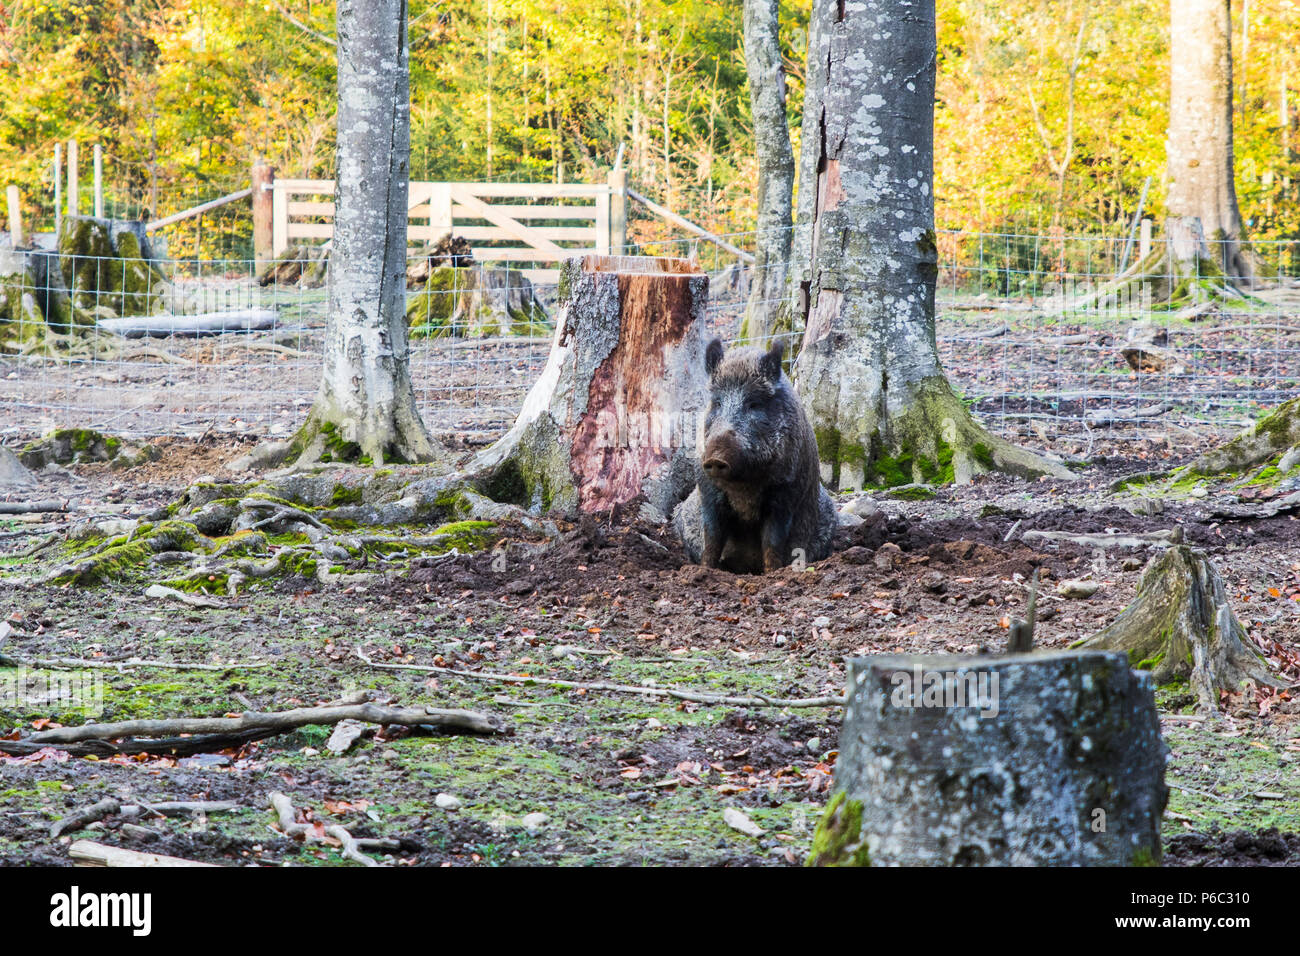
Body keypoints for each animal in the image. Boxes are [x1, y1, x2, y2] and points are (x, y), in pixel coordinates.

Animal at [672, 337, 837, 573]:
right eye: (717, 402)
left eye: (754, 404)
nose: (716, 457)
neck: (743, 486)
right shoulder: (707, 490)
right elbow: (712, 537)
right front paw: (707, 570)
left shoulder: (785, 493)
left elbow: (772, 540)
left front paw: (772, 573)